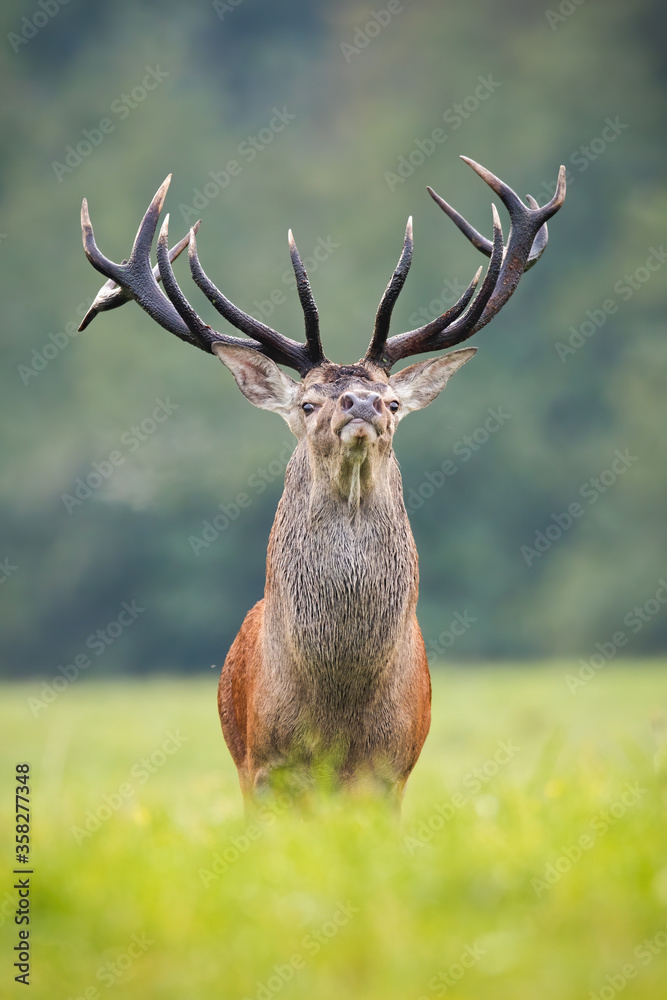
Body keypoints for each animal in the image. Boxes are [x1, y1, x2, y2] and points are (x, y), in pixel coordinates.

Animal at [79, 156, 565, 804]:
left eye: (392, 399)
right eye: (309, 402)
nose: (363, 404)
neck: (337, 717)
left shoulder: (393, 772)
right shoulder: (263, 766)